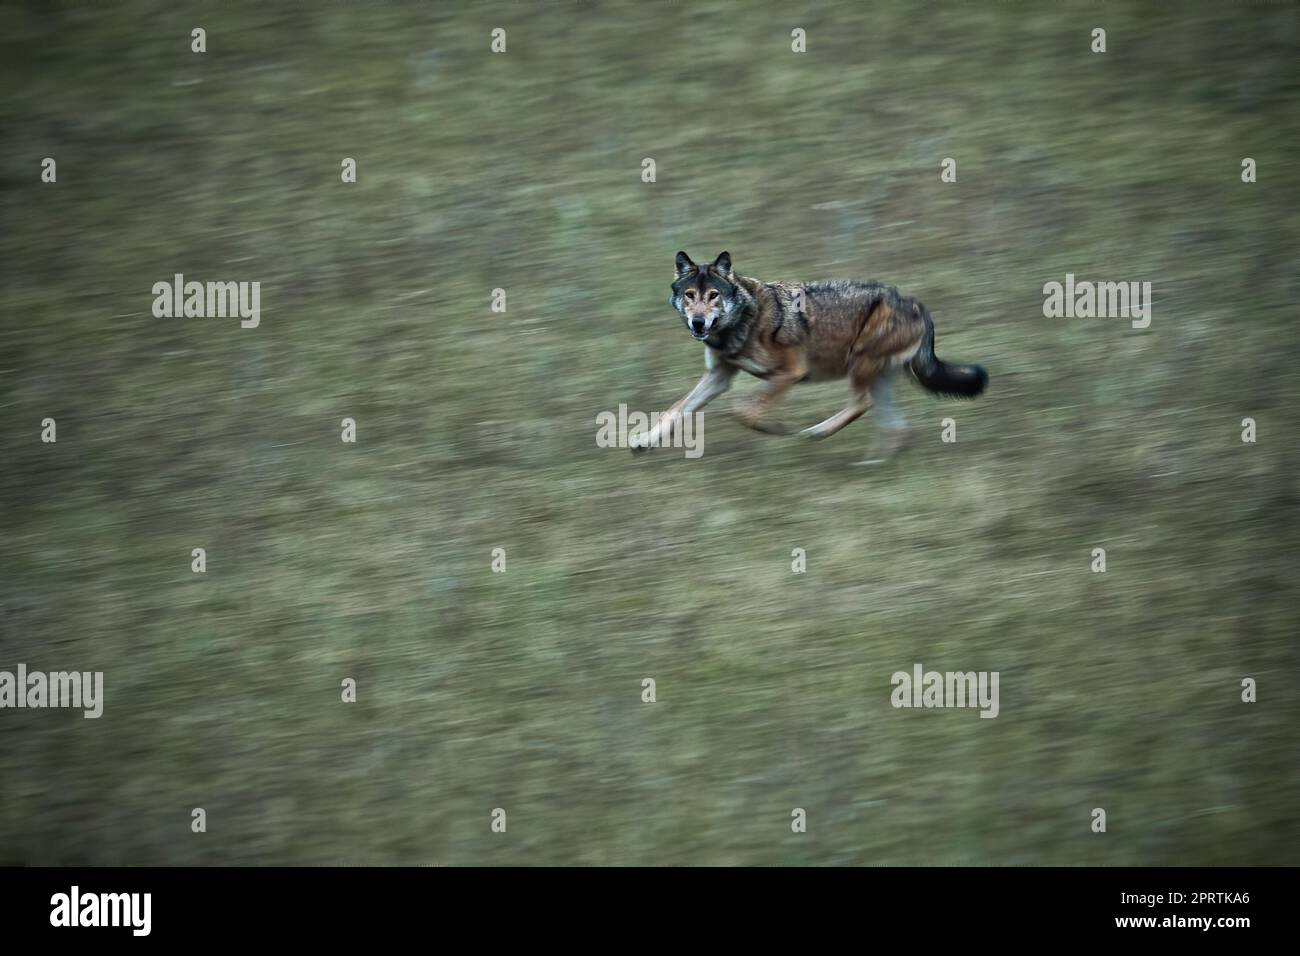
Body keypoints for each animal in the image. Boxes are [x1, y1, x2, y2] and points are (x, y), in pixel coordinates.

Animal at [629, 251, 987, 456]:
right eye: (690, 295)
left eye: (713, 295)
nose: (698, 322)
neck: (740, 322)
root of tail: (916, 304)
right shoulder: (719, 376)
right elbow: (676, 410)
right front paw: (644, 440)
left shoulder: (789, 373)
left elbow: (743, 410)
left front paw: (773, 427)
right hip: (877, 375)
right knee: (895, 427)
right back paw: (876, 462)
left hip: (860, 364)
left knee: (862, 404)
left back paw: (817, 433)